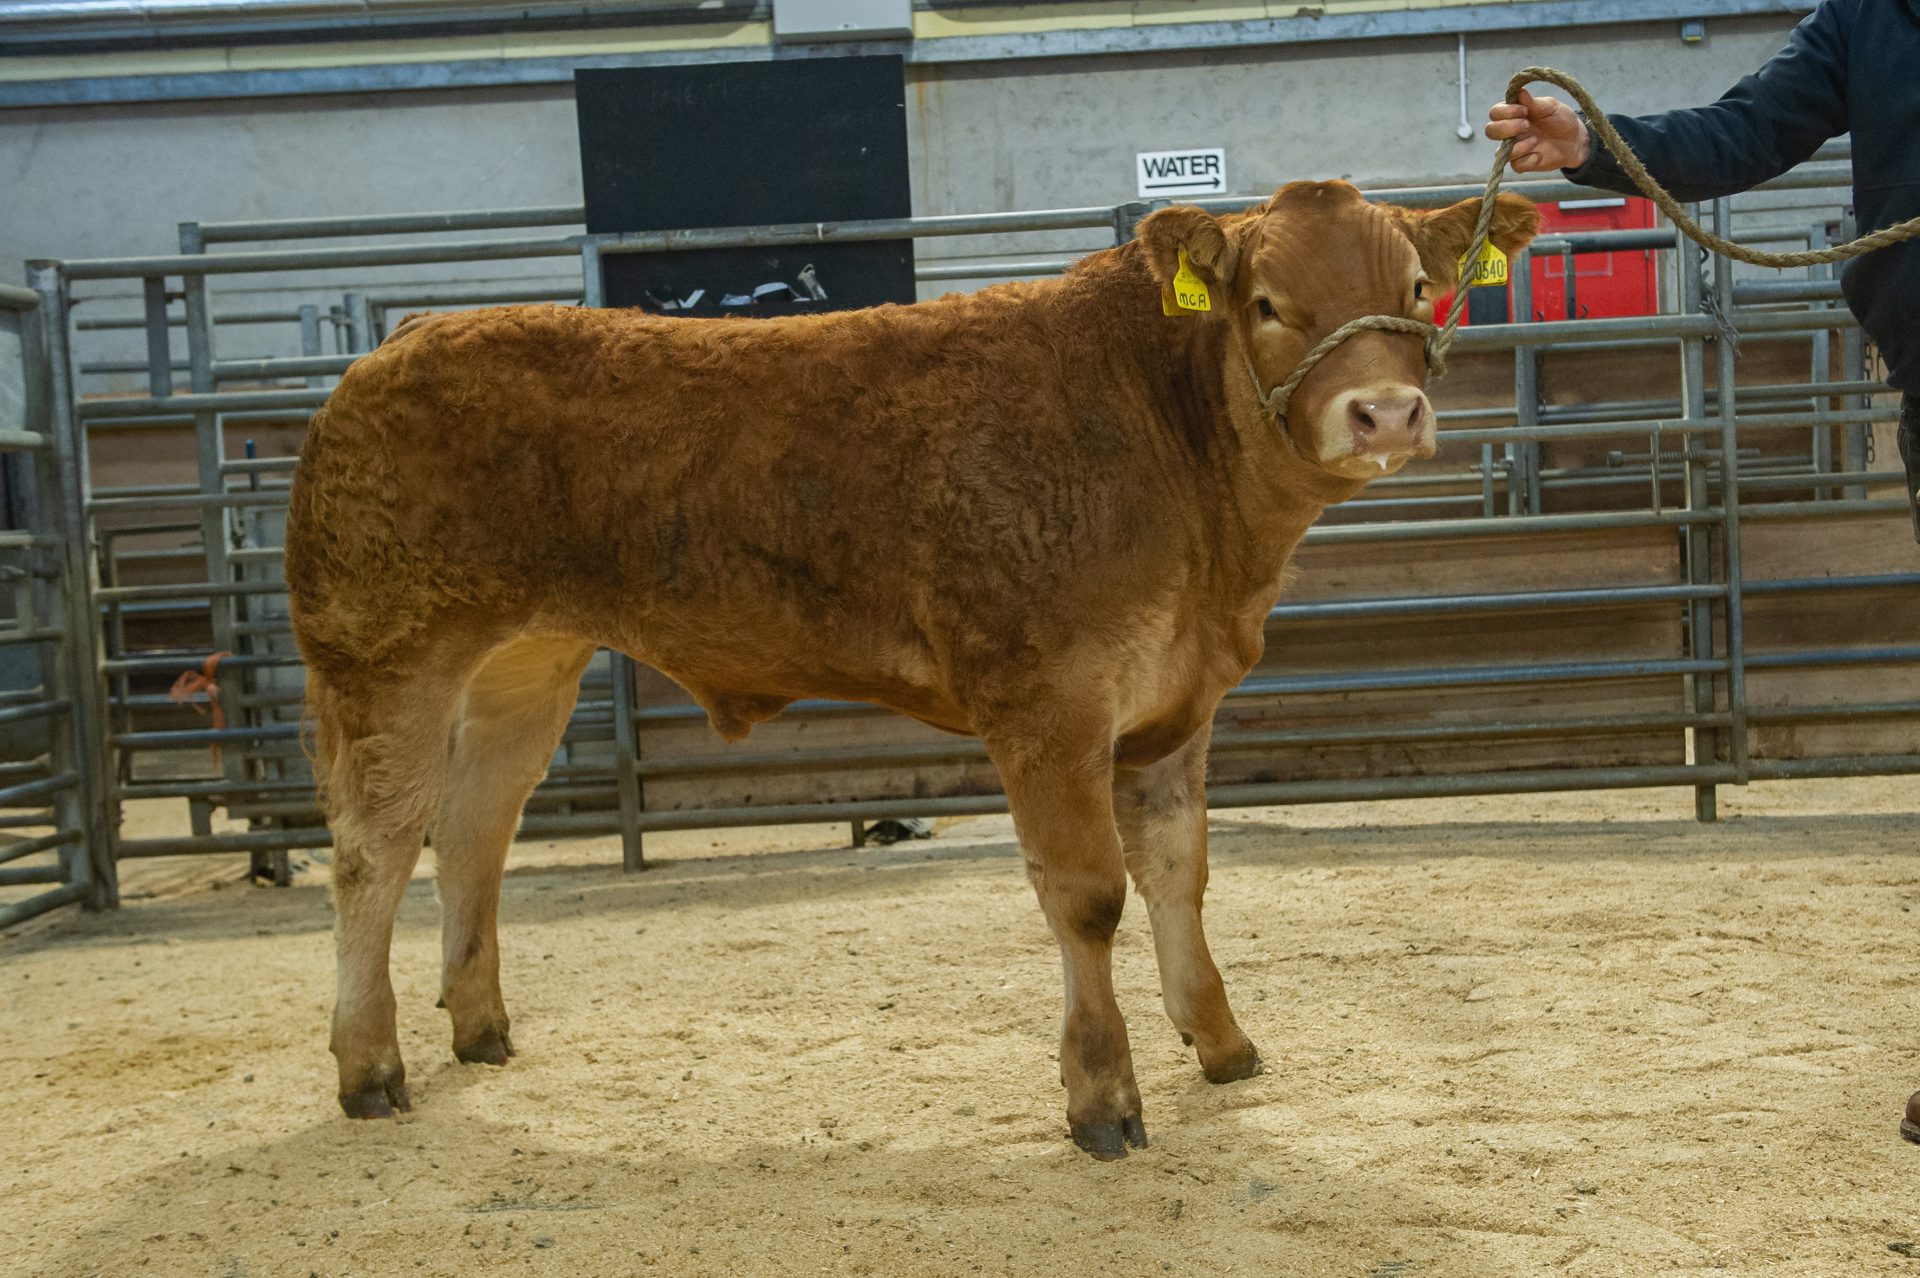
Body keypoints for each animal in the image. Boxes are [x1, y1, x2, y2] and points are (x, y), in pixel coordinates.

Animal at [286, 180, 1539, 1159]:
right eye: (1269, 303)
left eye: (1418, 289)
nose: (1385, 411)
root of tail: (402, 340)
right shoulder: (1046, 700)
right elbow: (1090, 895)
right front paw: (1103, 1097)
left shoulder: (1178, 699)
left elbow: (1180, 873)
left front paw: (1222, 1042)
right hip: (386, 655)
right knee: (372, 852)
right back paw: (369, 1067)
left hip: (524, 665)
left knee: (474, 832)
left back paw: (479, 1029)